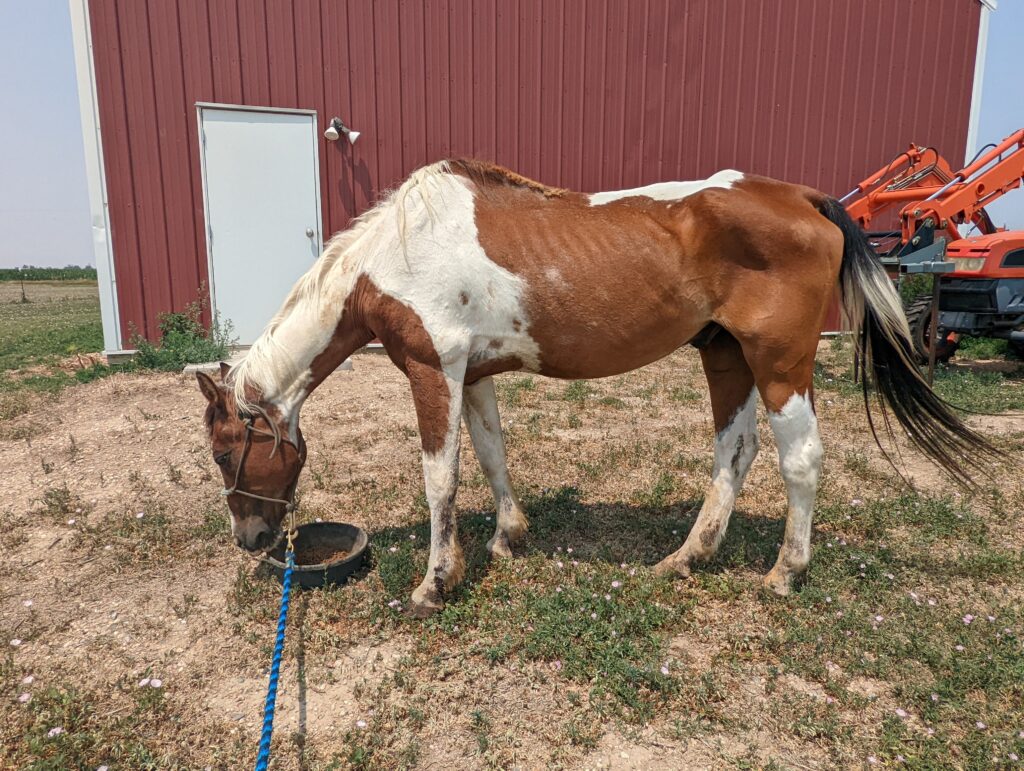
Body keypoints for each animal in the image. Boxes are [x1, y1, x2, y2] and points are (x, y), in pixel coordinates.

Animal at [196, 159, 996, 618]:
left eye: (225, 452)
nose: (250, 538)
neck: (397, 256)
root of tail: (805, 198)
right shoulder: (473, 376)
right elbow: (491, 456)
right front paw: (508, 540)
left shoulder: (434, 371)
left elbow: (440, 478)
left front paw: (434, 583)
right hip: (727, 356)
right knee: (733, 455)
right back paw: (687, 558)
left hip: (778, 362)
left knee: (800, 460)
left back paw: (783, 573)